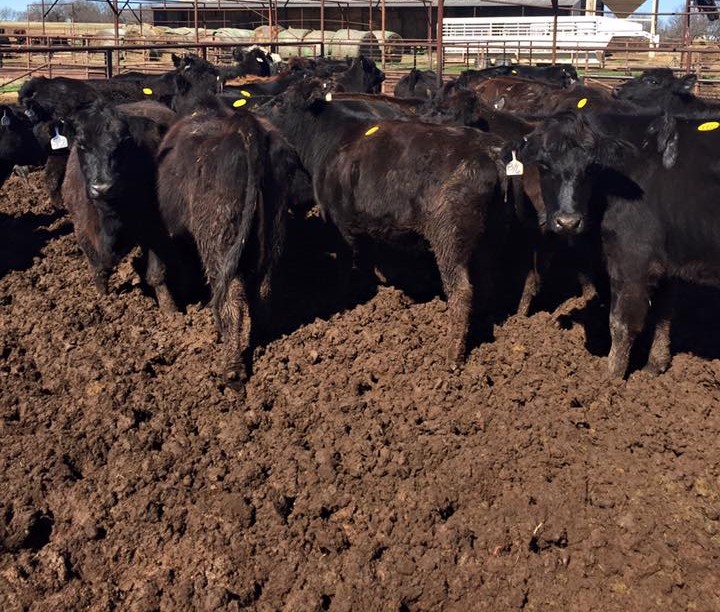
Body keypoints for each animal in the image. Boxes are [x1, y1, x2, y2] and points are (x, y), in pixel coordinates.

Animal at [61, 100, 178, 309]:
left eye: (123, 142)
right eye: (82, 144)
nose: (102, 187)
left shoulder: (153, 227)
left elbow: (156, 274)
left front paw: (170, 310)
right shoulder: (82, 230)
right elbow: (99, 270)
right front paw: (103, 299)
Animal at [156, 109, 311, 389]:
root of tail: (242, 122)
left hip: (218, 237)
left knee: (231, 296)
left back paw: (232, 367)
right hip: (273, 231)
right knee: (263, 289)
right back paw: (262, 337)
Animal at [266, 79, 512, 365]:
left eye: (279, 102)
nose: (257, 111)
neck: (332, 140)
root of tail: (490, 151)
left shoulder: (338, 222)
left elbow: (345, 266)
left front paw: (341, 303)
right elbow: (364, 262)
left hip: (450, 237)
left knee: (461, 290)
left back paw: (452, 355)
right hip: (490, 237)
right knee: (487, 281)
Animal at [513, 110, 720, 377]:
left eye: (591, 167)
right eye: (544, 166)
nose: (568, 222)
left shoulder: (632, 258)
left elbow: (621, 322)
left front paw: (610, 377)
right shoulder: (664, 264)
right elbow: (663, 314)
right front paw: (654, 366)